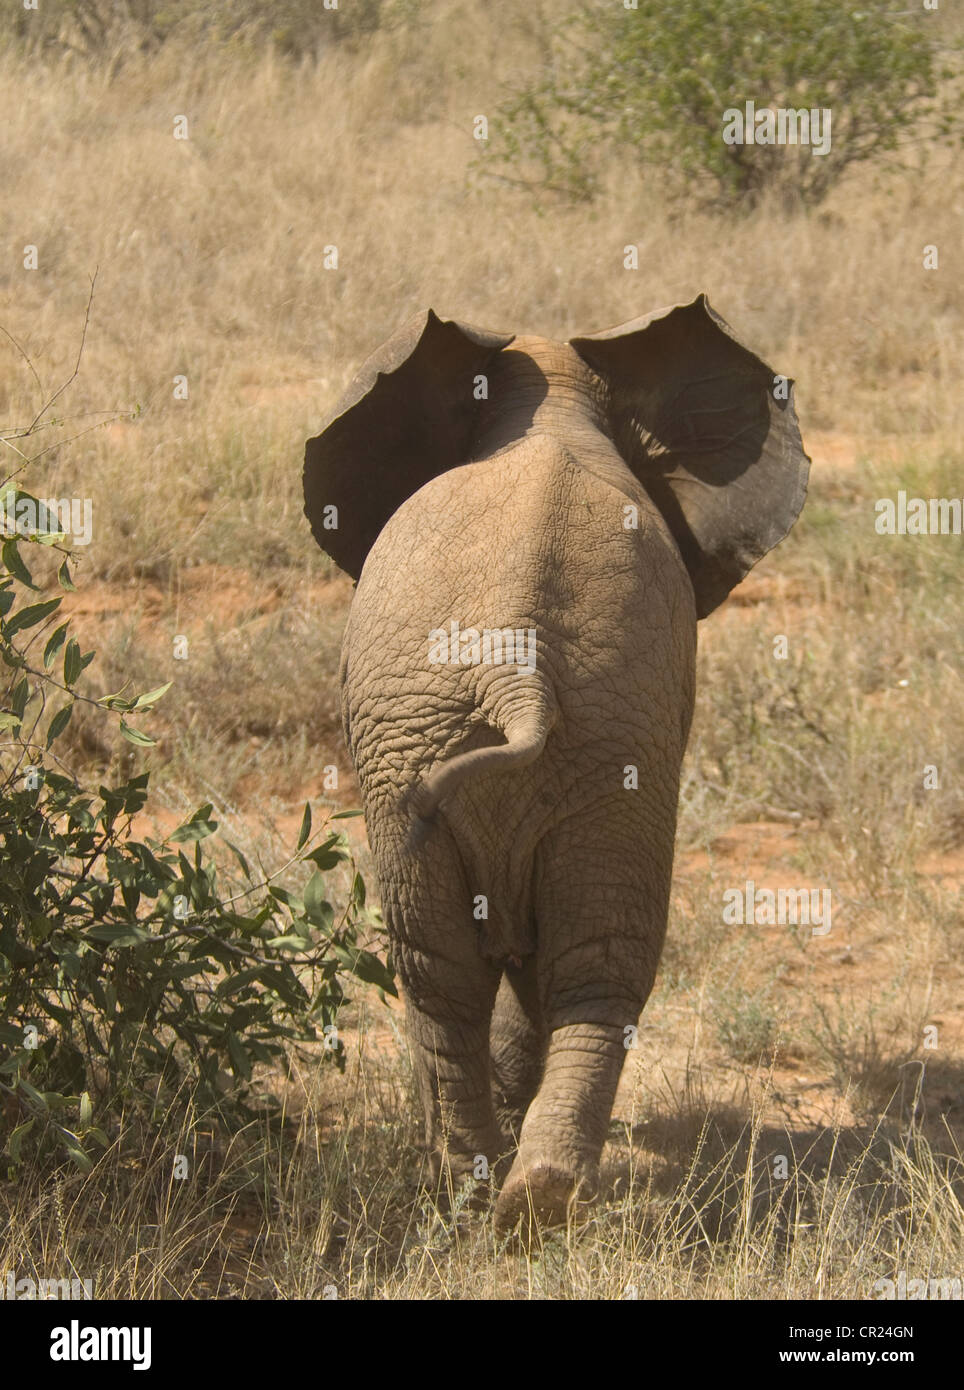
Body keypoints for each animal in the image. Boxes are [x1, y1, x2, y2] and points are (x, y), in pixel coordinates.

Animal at [303, 294, 809, 1235]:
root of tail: (520, 683)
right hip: (555, 753)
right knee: (547, 964)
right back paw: (514, 1198)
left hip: (548, 755)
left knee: (465, 971)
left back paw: (491, 1198)